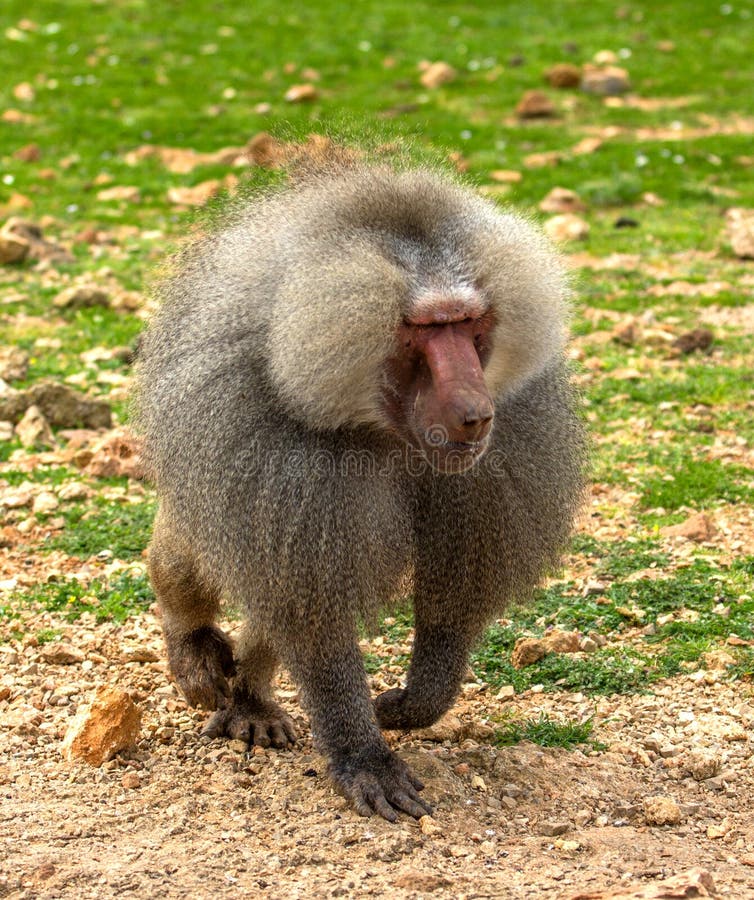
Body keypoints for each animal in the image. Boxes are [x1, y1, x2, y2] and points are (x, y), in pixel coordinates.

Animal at [135, 162, 585, 822]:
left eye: (468, 324)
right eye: (423, 330)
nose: (476, 415)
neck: (379, 424)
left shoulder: (499, 451)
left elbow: (453, 590)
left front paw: (410, 703)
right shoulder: (280, 459)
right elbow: (316, 621)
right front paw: (365, 759)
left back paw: (249, 701)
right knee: (192, 554)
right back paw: (189, 643)